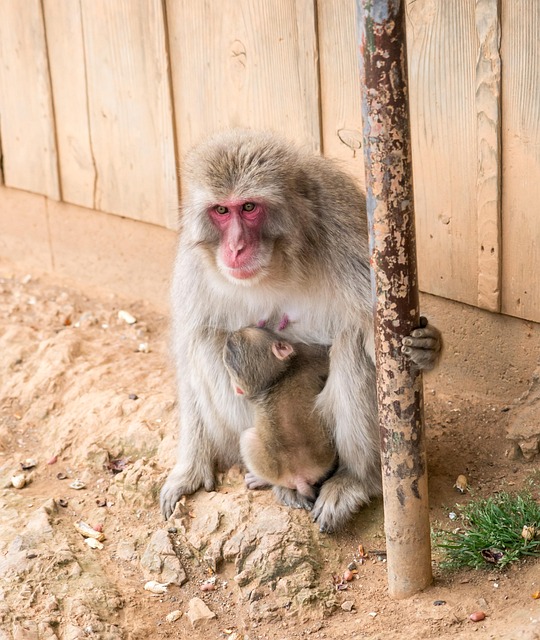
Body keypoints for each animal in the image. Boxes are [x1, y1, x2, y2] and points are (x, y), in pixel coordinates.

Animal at [222, 326, 336, 510]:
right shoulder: (308, 356)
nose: (229, 335)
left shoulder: (307, 356)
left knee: (247, 437)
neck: (276, 378)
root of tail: (299, 476)